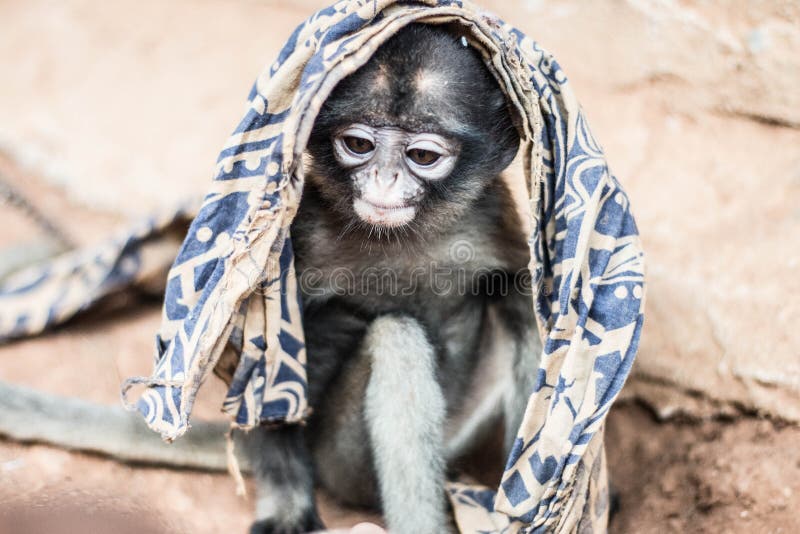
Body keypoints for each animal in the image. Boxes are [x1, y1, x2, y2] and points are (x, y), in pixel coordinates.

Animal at [243, 24, 542, 534]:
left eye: (422, 154)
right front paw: (287, 508)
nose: (384, 179)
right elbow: (271, 379)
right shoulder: (300, 235)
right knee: (397, 335)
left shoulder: (490, 214)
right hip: (342, 465)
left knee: (518, 300)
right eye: (359, 146)